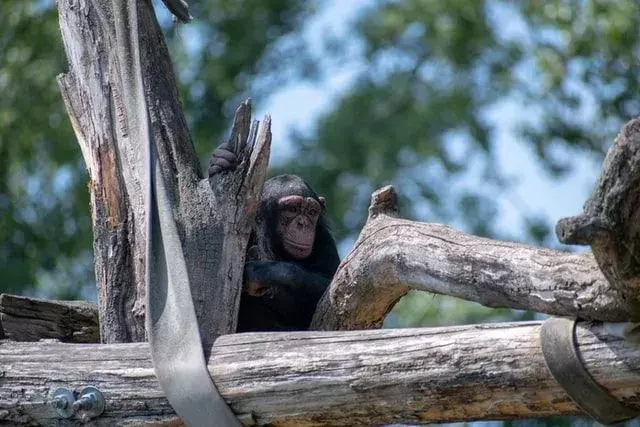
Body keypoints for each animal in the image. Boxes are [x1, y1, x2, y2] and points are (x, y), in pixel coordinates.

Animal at [209, 142, 340, 332]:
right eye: (292, 209)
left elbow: (333, 287)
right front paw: (221, 160)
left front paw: (266, 270)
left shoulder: (325, 240)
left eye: (311, 211)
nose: (303, 223)